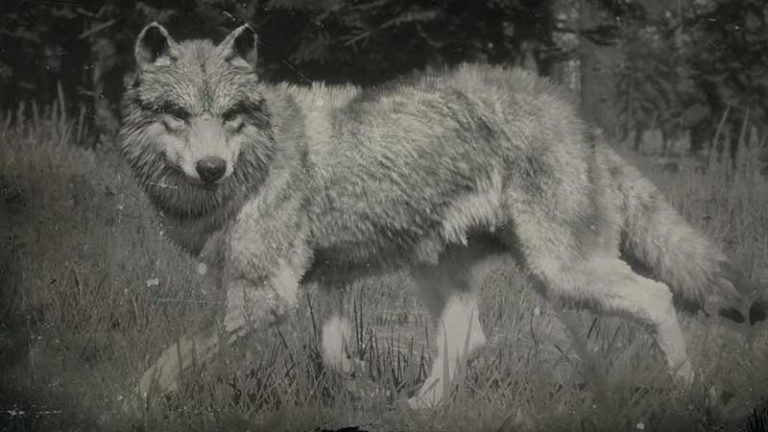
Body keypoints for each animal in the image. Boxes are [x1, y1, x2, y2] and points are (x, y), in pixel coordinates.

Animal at [119, 22, 766, 409]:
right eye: (179, 114)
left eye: (230, 117)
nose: (210, 168)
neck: (264, 154)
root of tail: (577, 118)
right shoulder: (324, 280)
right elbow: (333, 352)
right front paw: (359, 389)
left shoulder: (265, 294)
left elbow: (170, 360)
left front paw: (131, 401)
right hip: (436, 268)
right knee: (469, 337)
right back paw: (420, 410)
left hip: (563, 274)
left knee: (657, 296)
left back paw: (688, 396)